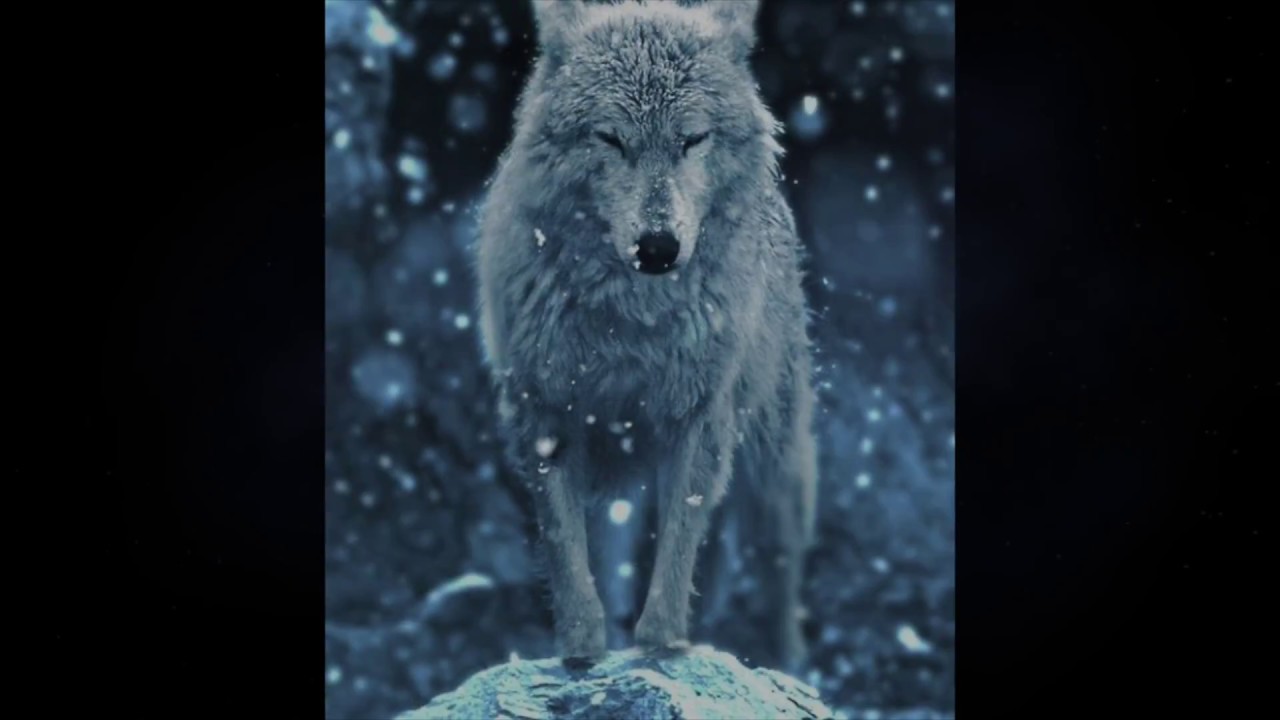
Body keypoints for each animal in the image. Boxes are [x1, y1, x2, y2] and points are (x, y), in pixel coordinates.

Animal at [475, 0, 817, 672]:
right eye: (611, 138)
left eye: (692, 139)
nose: (657, 247)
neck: (628, 323)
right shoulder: (546, 415)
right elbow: (567, 554)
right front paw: (582, 652)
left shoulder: (699, 418)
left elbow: (680, 543)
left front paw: (661, 643)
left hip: (771, 469)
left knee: (779, 570)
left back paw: (785, 666)